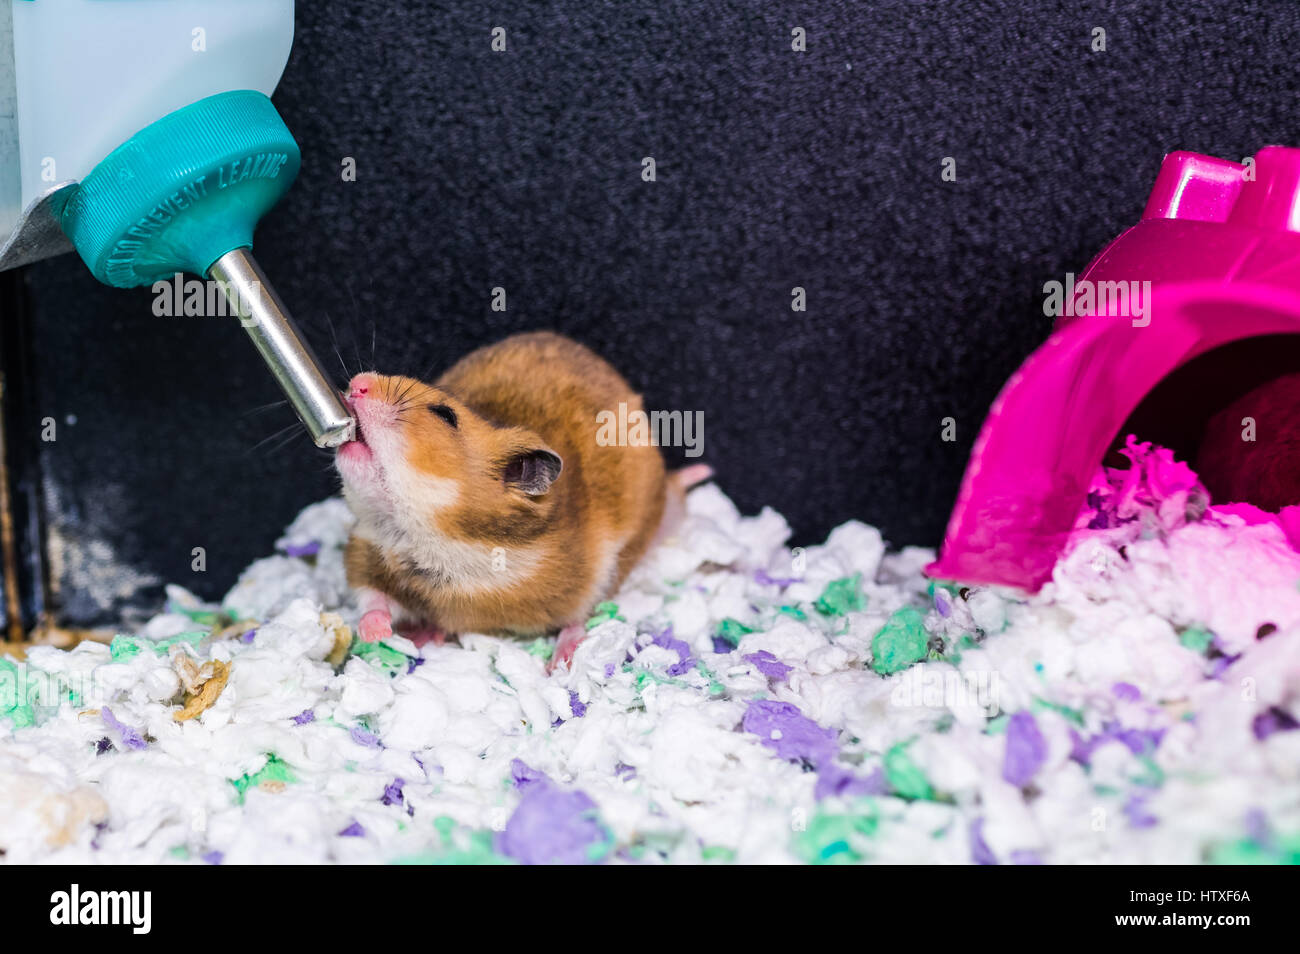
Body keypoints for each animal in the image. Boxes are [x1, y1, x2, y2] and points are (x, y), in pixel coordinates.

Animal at [335, 331, 708, 668]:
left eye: (445, 414)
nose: (358, 383)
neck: (434, 536)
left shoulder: (591, 574)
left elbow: (580, 614)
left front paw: (563, 663)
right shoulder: (364, 551)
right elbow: (372, 598)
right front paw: (376, 634)